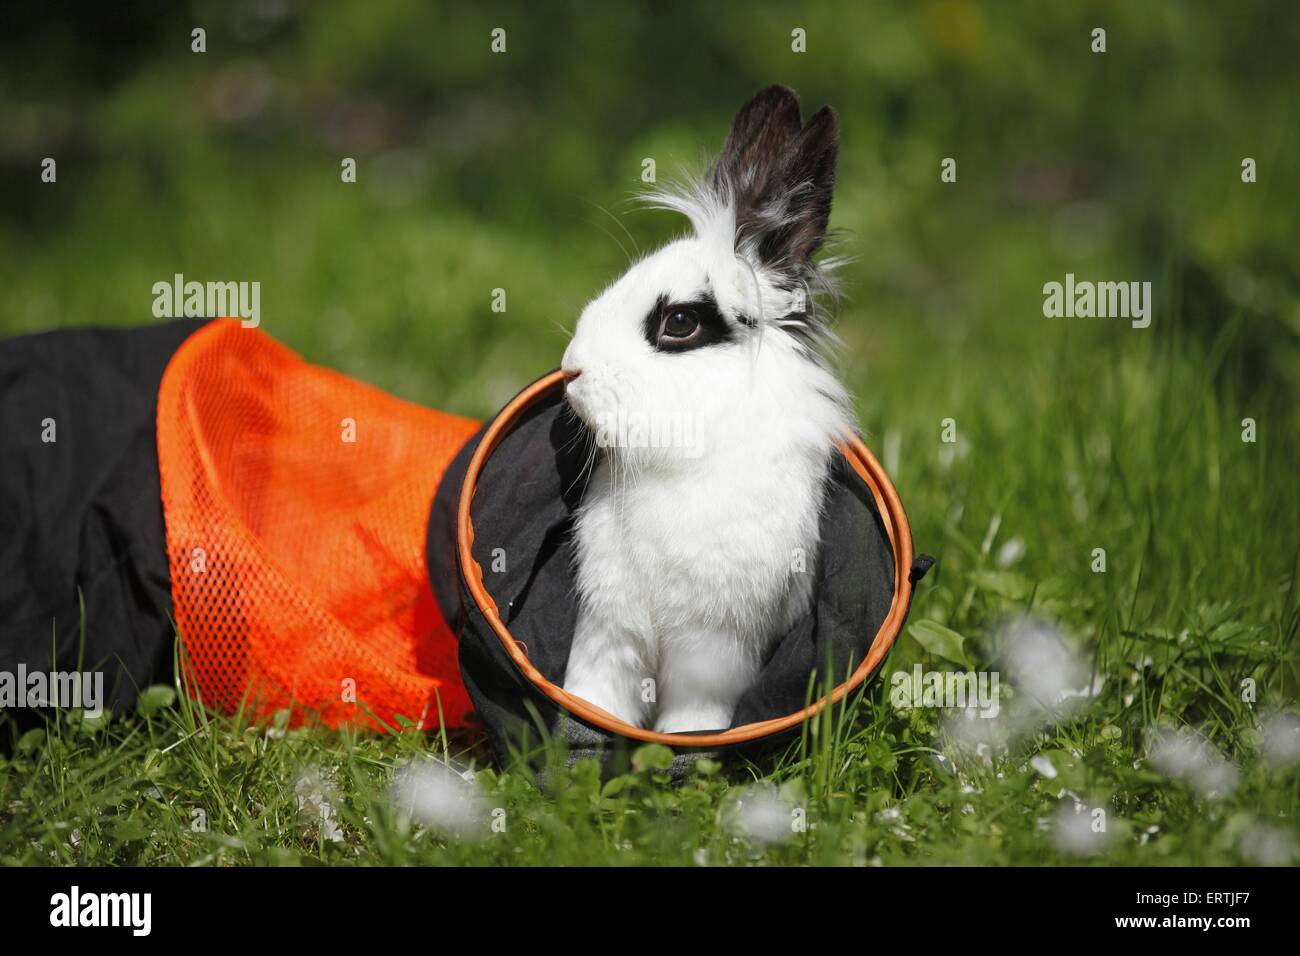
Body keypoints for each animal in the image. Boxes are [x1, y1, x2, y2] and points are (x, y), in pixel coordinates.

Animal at [559, 86, 855, 733]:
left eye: (679, 322)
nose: (572, 370)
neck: (679, 466)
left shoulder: (715, 648)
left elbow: (694, 712)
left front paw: (688, 739)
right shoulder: (607, 629)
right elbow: (593, 693)